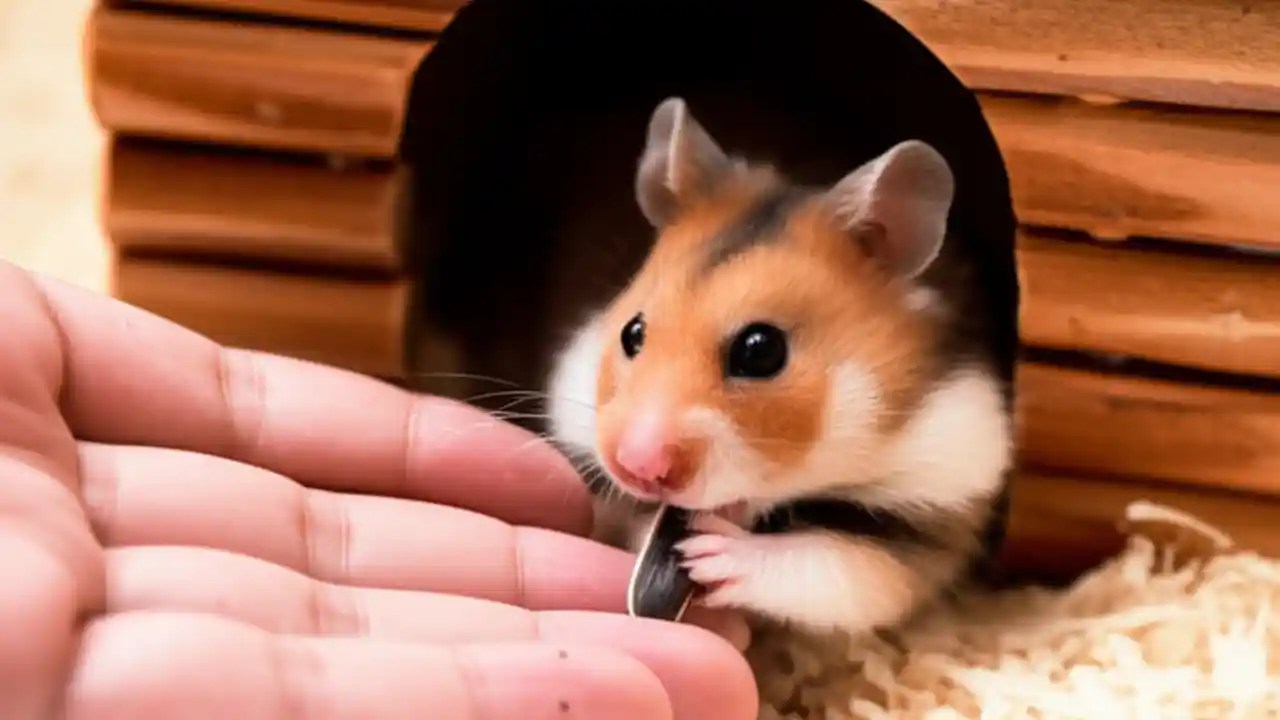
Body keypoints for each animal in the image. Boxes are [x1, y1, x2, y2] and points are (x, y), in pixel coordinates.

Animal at [545, 97, 1013, 637]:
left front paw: (707, 552)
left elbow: (836, 567)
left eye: (760, 350)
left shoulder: (931, 505)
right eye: (632, 332)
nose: (637, 468)